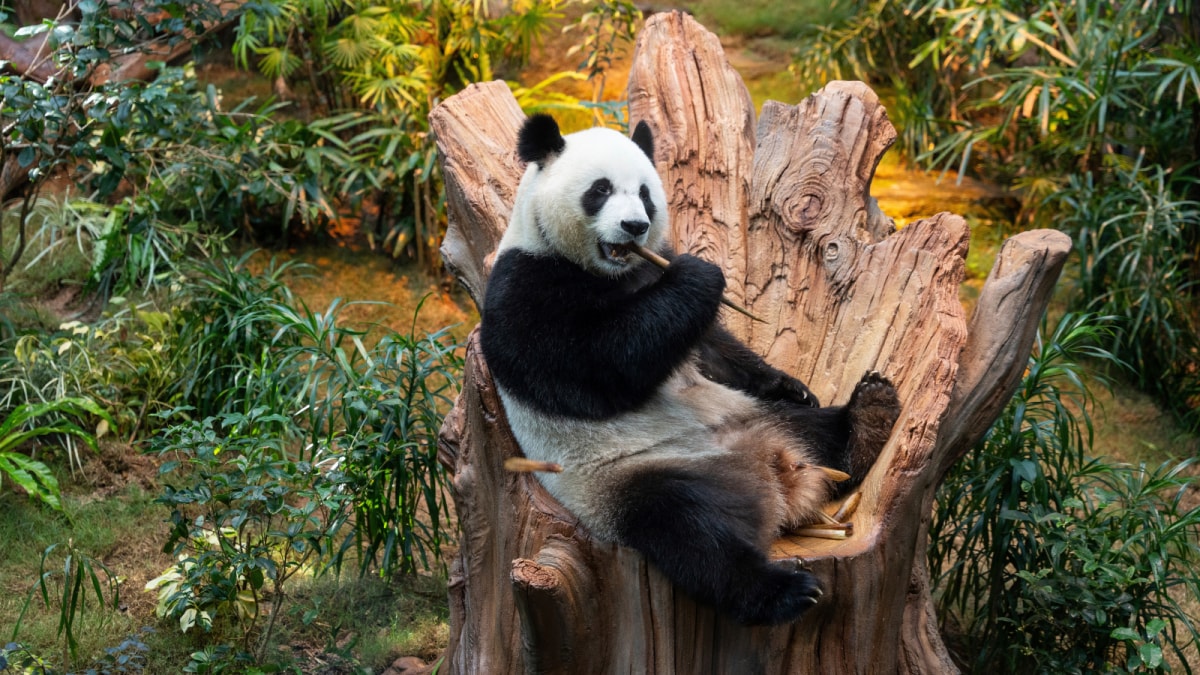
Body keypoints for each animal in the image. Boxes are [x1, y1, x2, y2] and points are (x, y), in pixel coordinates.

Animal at [480, 113, 901, 626]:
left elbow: (712, 348)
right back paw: (783, 591)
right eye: (600, 189)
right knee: (694, 536)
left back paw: (869, 416)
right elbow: (594, 369)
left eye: (645, 193)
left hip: (757, 418)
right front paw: (700, 275)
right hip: (629, 482)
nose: (635, 226)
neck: (610, 272)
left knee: (817, 430)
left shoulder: (652, 278)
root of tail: (773, 479)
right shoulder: (525, 285)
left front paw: (791, 384)